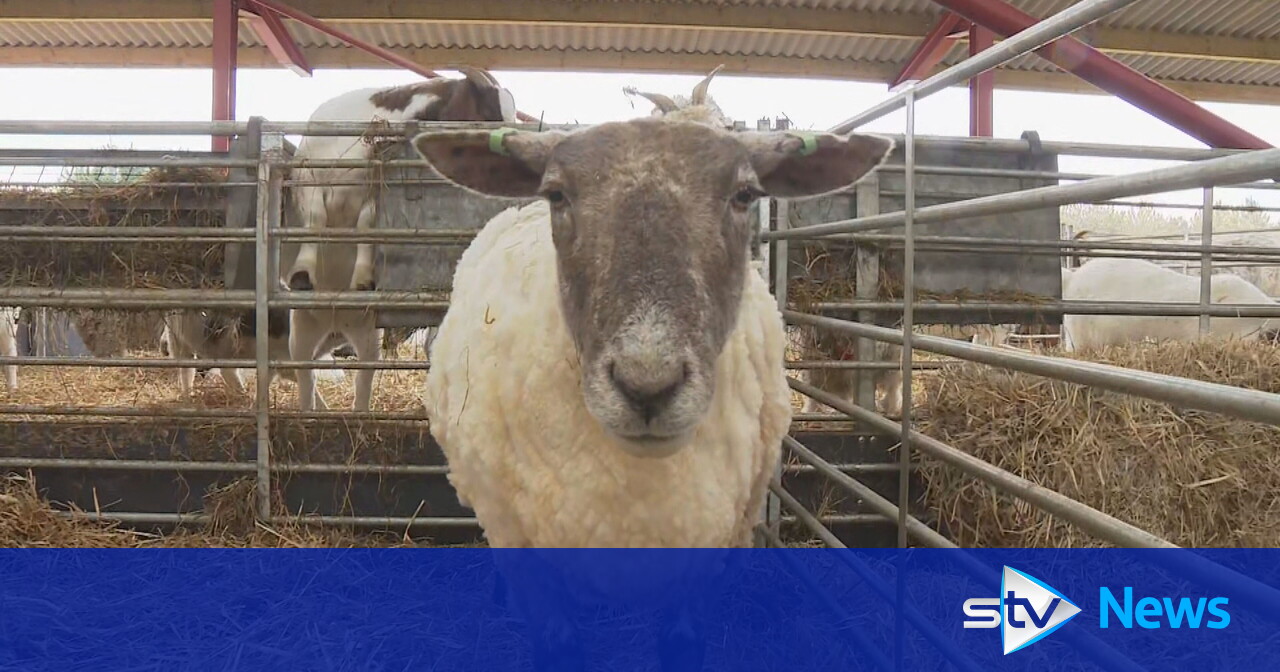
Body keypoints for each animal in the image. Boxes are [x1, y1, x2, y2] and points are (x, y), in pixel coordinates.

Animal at [279, 67, 519, 411]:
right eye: (488, 113)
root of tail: (335, 322)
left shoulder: (374, 194)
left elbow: (366, 224)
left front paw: (362, 279)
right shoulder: (308, 180)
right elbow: (316, 219)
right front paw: (302, 273)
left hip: (366, 338)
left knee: (361, 378)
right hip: (301, 332)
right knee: (305, 374)